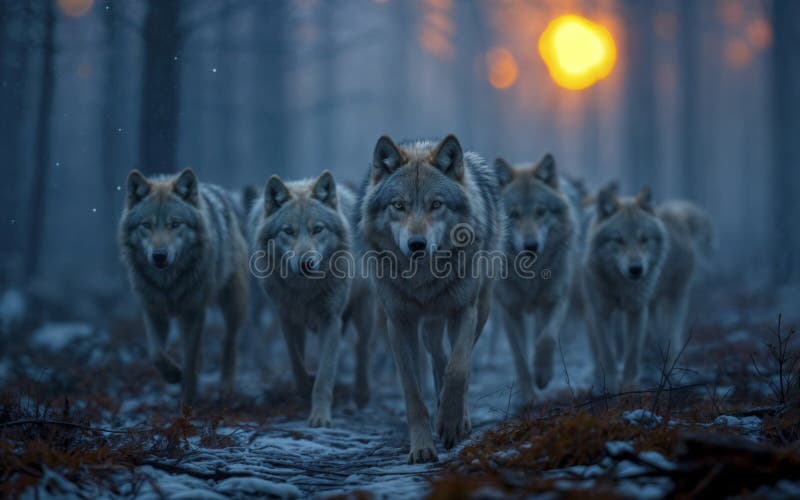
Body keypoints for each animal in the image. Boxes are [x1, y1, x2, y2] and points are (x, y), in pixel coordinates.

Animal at [119, 168, 249, 405]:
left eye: (175, 224)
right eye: (147, 225)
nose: (159, 256)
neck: (168, 285)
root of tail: (221, 192)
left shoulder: (194, 311)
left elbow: (189, 359)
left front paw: (187, 400)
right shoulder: (152, 311)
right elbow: (156, 354)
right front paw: (173, 375)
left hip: (233, 303)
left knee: (229, 342)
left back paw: (225, 387)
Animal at [249, 171, 374, 427]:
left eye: (318, 229)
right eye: (288, 231)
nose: (307, 263)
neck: (304, 290)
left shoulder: (331, 321)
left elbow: (325, 376)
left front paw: (320, 417)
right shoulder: (287, 319)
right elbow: (296, 361)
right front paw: (305, 388)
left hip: (363, 311)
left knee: (362, 348)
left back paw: (361, 394)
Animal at [356, 134, 504, 463]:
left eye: (436, 204)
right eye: (398, 205)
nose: (417, 244)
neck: (424, 279)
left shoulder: (465, 310)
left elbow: (458, 369)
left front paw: (450, 424)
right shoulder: (399, 323)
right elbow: (413, 391)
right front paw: (422, 447)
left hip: (480, 310)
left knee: (456, 363)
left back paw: (459, 418)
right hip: (429, 327)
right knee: (438, 357)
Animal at [493, 154, 581, 402]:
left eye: (541, 212)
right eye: (513, 214)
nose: (531, 246)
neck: (529, 276)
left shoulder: (556, 300)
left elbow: (547, 338)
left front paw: (542, 375)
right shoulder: (509, 310)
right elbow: (519, 357)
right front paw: (530, 396)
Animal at [582, 186, 712, 393]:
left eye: (644, 239)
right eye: (618, 240)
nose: (636, 269)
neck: (621, 287)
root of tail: (676, 213)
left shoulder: (637, 311)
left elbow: (632, 354)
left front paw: (629, 389)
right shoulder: (601, 313)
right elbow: (608, 357)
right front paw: (610, 390)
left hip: (675, 302)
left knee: (672, 342)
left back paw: (671, 377)